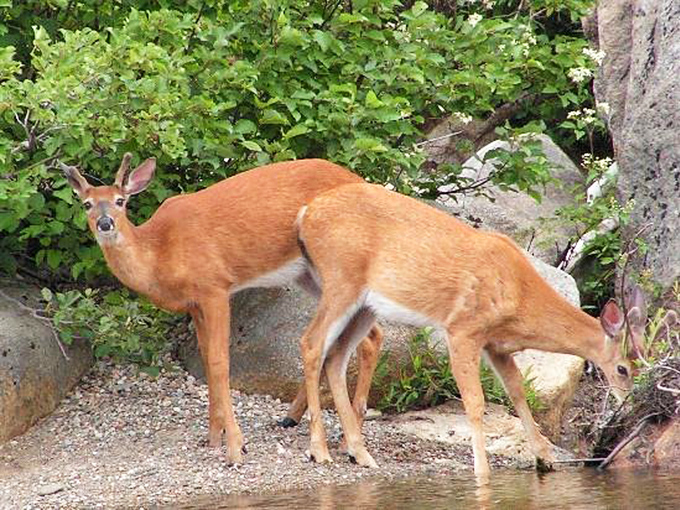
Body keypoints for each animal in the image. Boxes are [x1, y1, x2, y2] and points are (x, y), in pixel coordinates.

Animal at [61, 154, 383, 464]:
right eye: (87, 204)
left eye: (120, 201)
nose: (105, 223)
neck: (161, 254)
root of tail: (359, 179)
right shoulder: (194, 304)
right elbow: (205, 361)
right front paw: (214, 436)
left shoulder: (214, 287)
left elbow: (219, 362)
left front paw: (236, 447)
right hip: (310, 275)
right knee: (369, 335)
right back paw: (307, 423)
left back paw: (345, 440)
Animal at [294, 182, 637, 479]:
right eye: (623, 368)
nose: (629, 401)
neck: (520, 297)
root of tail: (306, 214)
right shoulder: (462, 329)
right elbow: (475, 401)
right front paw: (482, 471)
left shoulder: (496, 345)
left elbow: (517, 391)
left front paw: (544, 457)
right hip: (341, 280)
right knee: (312, 342)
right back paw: (319, 450)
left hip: (366, 304)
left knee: (336, 357)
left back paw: (359, 452)